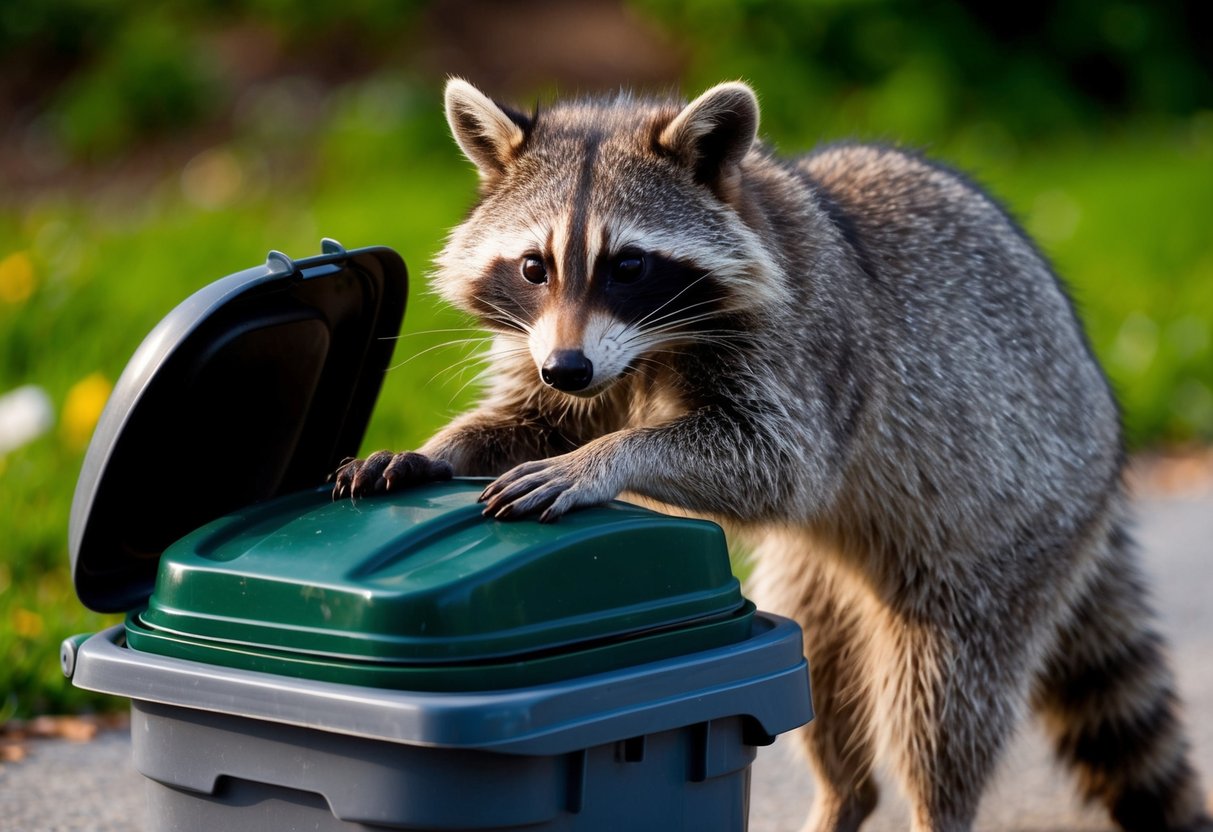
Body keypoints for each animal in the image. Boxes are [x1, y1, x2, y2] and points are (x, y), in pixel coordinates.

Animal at [334, 79, 1210, 832]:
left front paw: (608, 457)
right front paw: (437, 450)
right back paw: (843, 795)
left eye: (628, 265)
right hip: (819, 575)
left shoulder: (803, 350)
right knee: (825, 679)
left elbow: (775, 465)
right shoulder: (548, 347)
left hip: (1005, 531)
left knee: (940, 702)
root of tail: (1106, 433)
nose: (569, 369)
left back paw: (935, 803)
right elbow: (532, 419)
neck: (642, 350)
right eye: (532, 266)